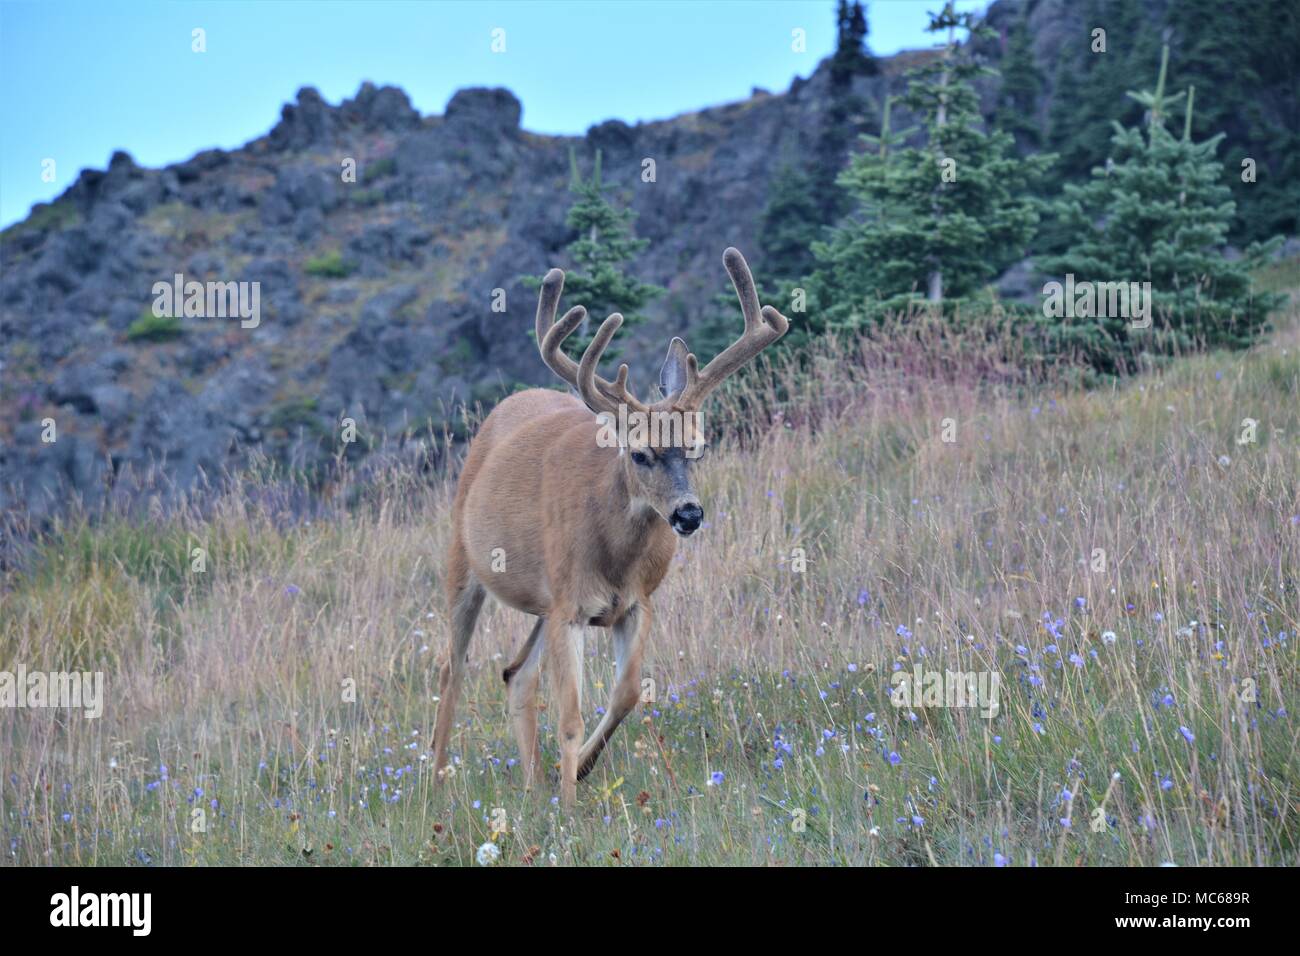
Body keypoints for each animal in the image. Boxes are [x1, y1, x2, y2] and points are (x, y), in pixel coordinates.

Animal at [430, 247, 788, 806]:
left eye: (698, 447)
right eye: (640, 453)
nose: (688, 514)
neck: (615, 557)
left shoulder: (635, 603)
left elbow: (627, 695)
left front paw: (579, 771)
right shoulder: (571, 608)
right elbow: (570, 718)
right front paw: (571, 805)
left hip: (543, 601)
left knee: (516, 674)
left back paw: (534, 785)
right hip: (464, 561)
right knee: (453, 667)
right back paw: (437, 783)